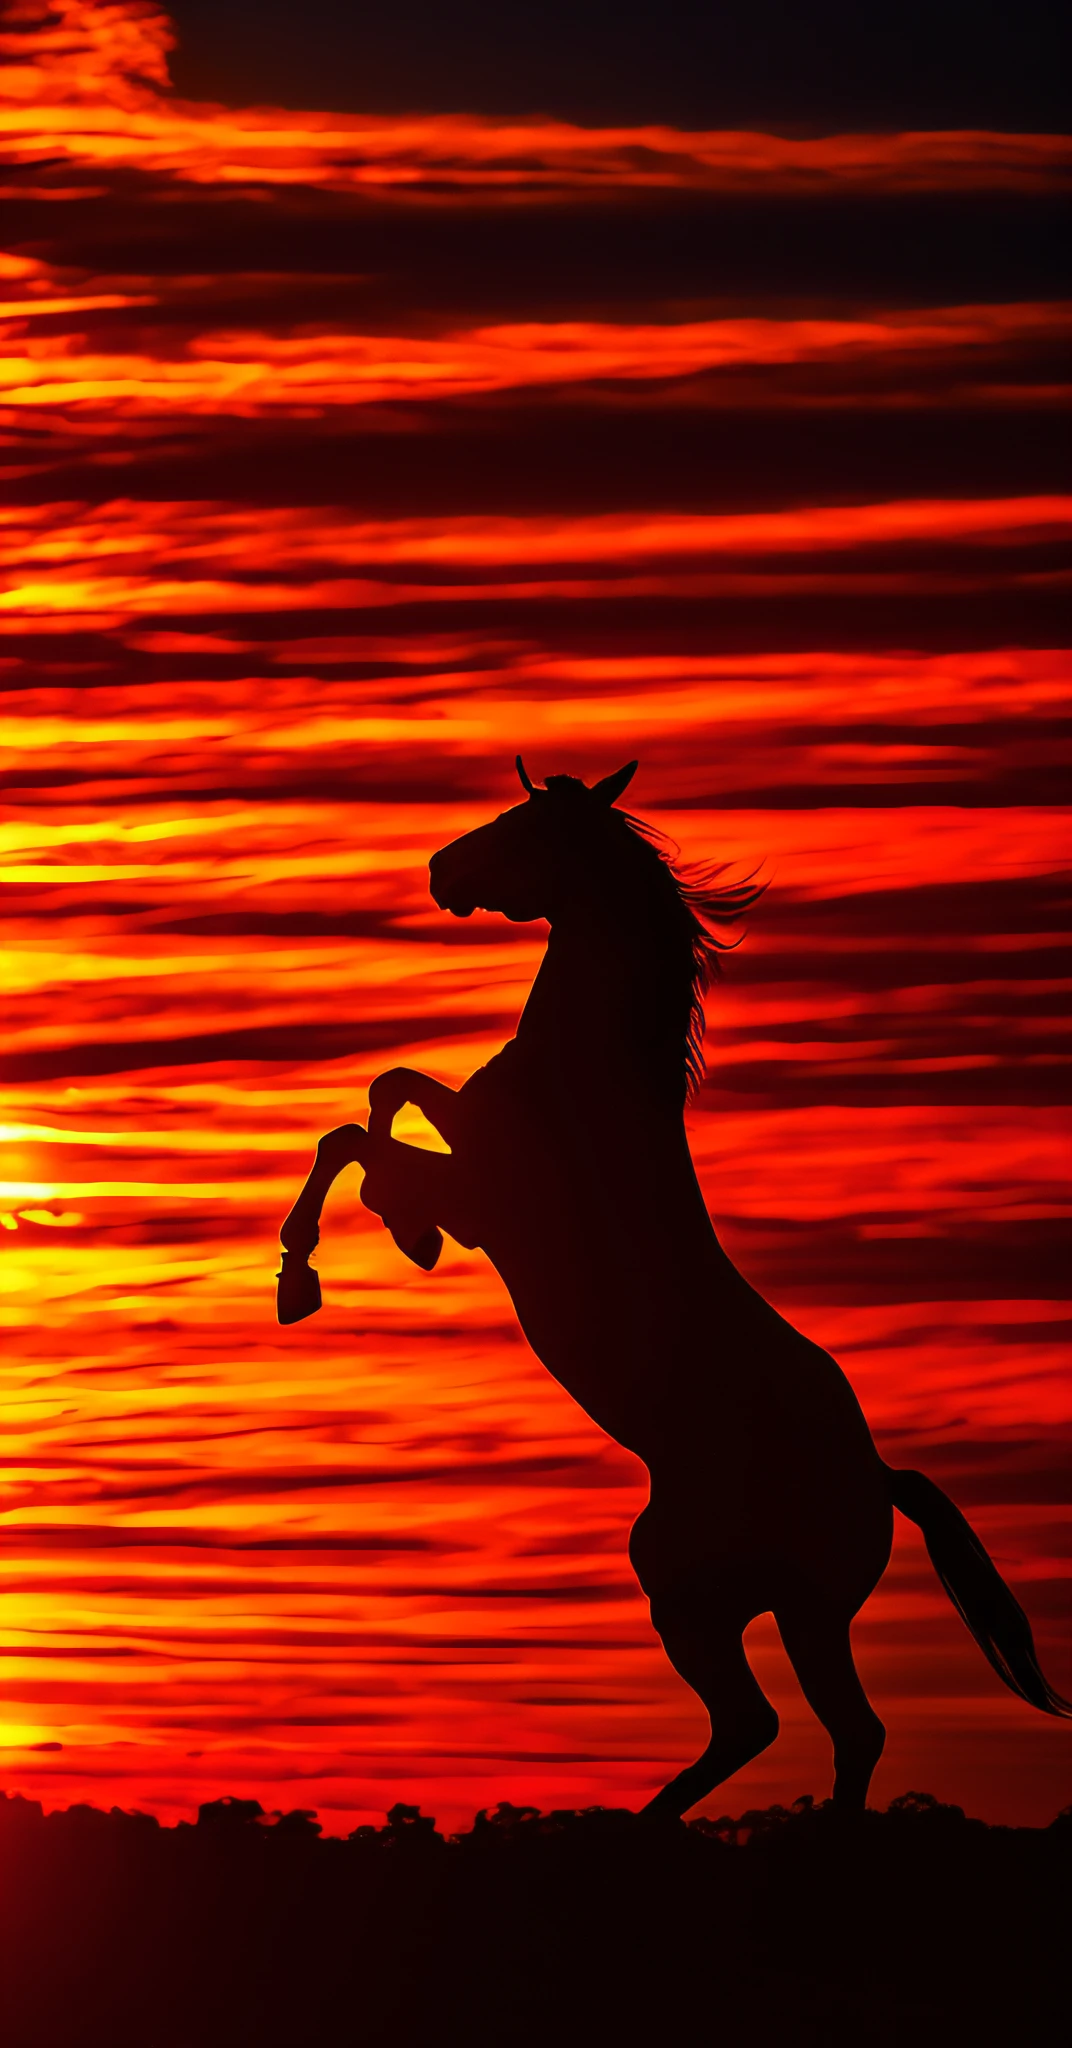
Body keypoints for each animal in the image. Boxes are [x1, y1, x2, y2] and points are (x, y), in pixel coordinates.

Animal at [278, 759, 1070, 1817]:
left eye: (522, 824)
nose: (441, 869)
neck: (592, 1079)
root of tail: (876, 1476)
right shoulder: (471, 1143)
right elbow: (389, 1092)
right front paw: (403, 1236)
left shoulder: (485, 1195)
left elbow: (357, 1136)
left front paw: (318, 1267)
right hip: (754, 1604)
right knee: (810, 1728)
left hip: (724, 1595)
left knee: (791, 1723)